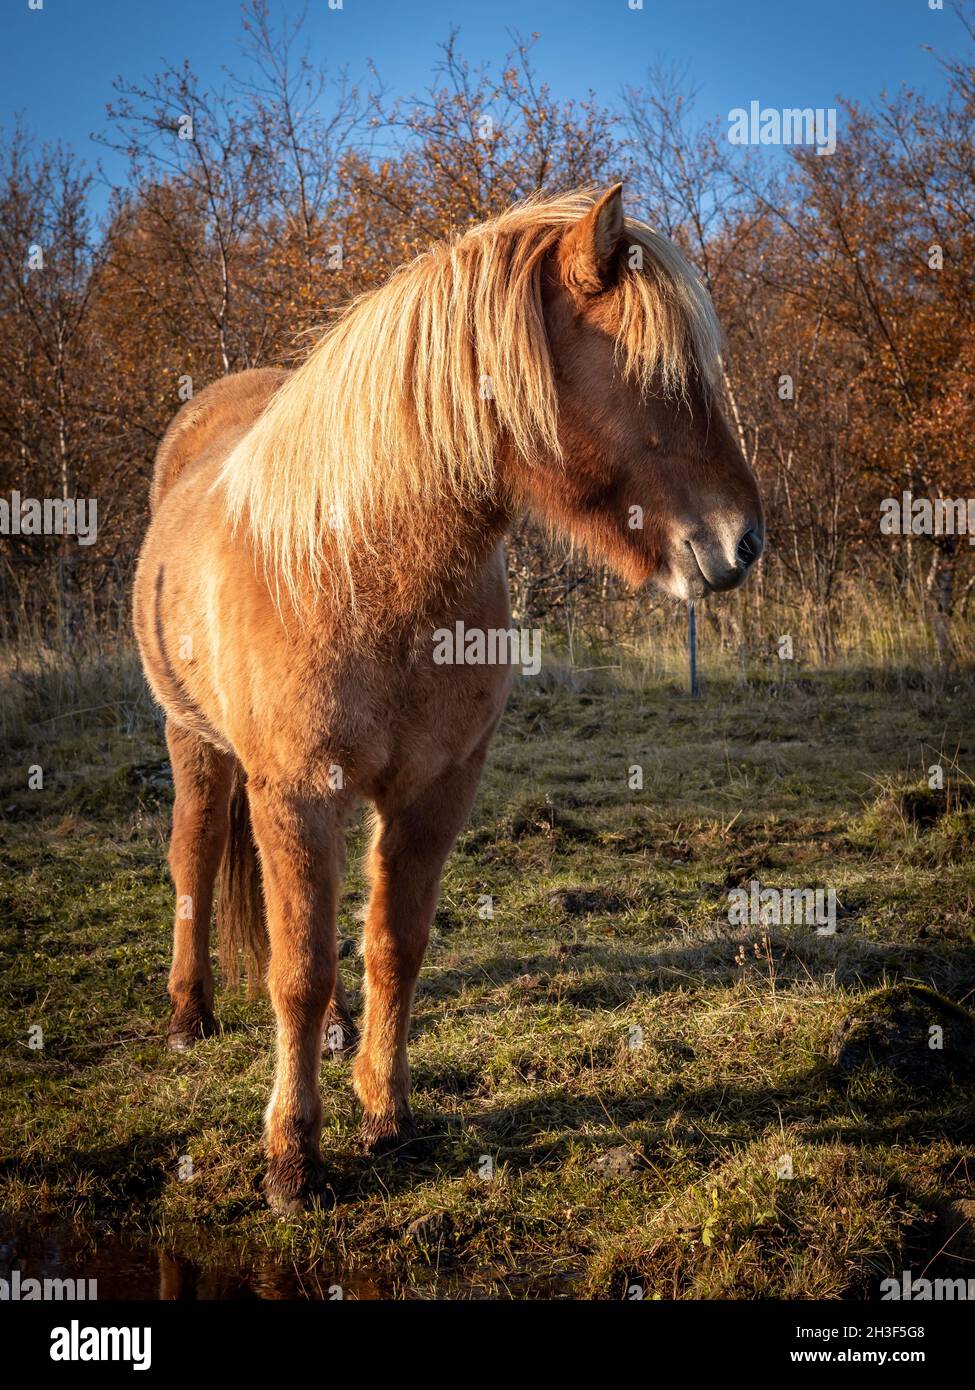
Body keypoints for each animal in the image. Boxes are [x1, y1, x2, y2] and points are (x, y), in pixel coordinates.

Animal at [133, 184, 764, 1213]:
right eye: (656, 374)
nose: (743, 542)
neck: (358, 564)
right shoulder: (295, 792)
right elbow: (298, 970)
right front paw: (291, 1160)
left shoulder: (434, 791)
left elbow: (391, 946)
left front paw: (385, 1116)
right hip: (198, 746)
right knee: (193, 862)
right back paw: (189, 1016)